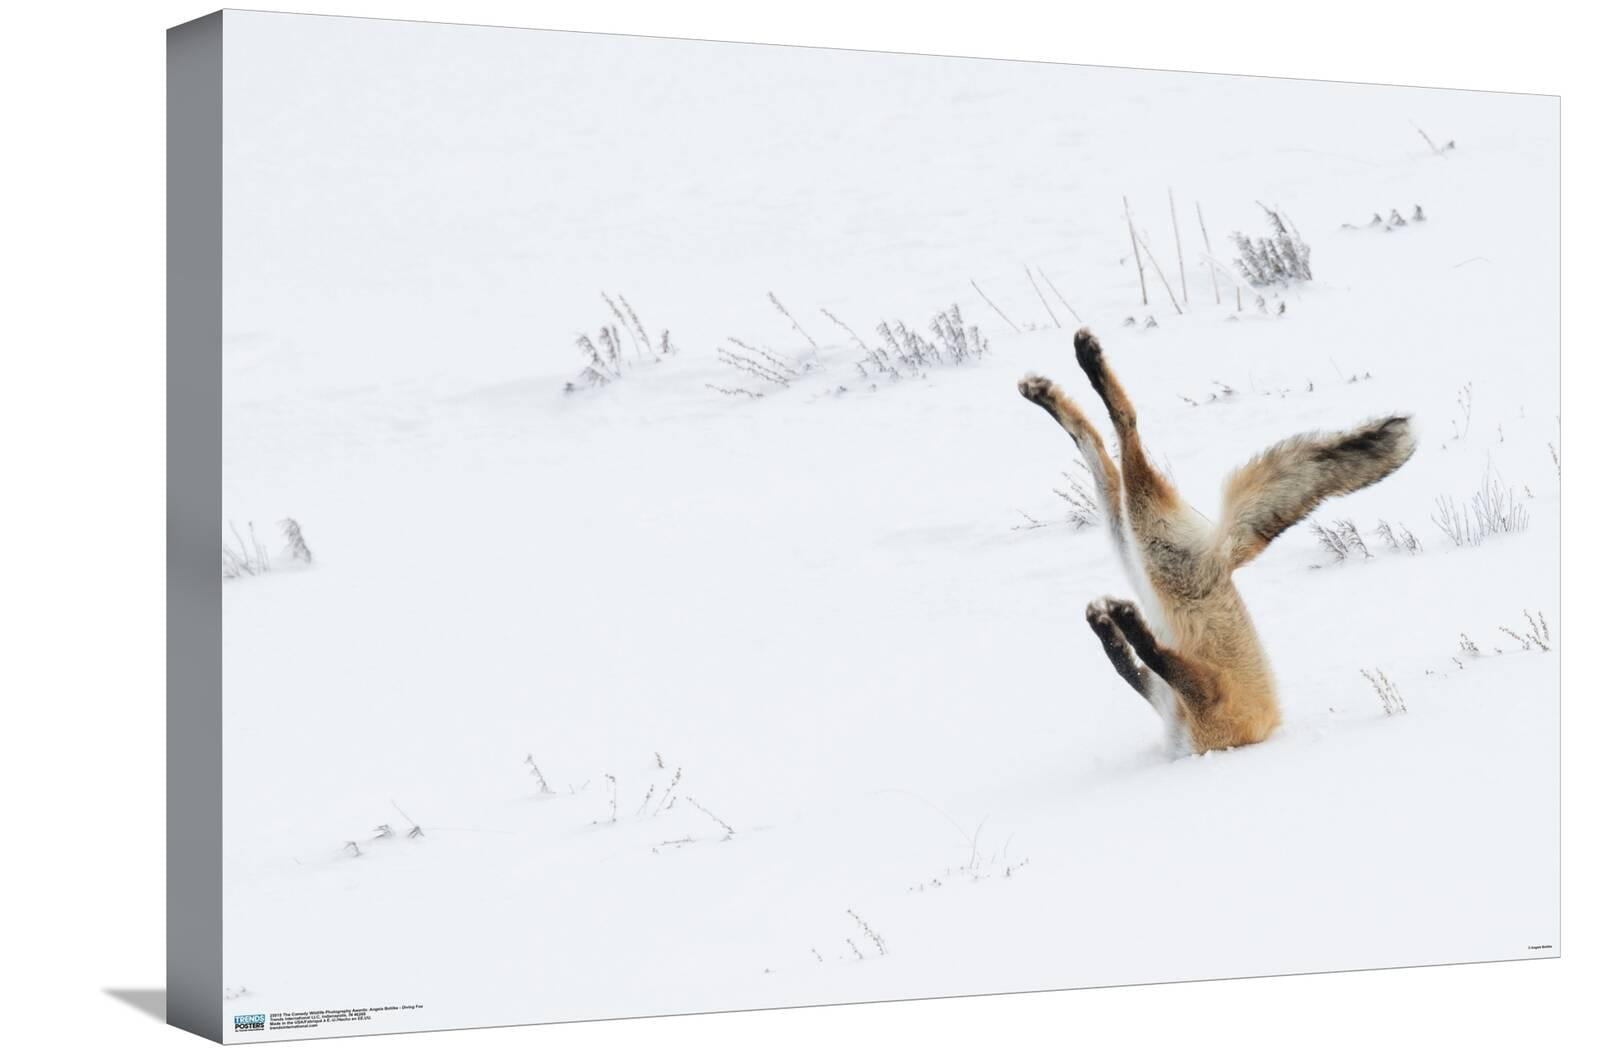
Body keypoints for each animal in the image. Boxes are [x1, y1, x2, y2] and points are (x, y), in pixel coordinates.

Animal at [1018, 328, 1417, 756]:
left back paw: (1087, 363)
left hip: (1147, 542)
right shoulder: (1171, 699)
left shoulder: (1206, 700)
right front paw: (1109, 626)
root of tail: (1223, 557)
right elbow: (1128, 664)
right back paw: (1047, 389)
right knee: (1094, 443)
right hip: (1130, 538)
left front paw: (1123, 622)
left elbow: (1147, 657)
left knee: (1126, 430)